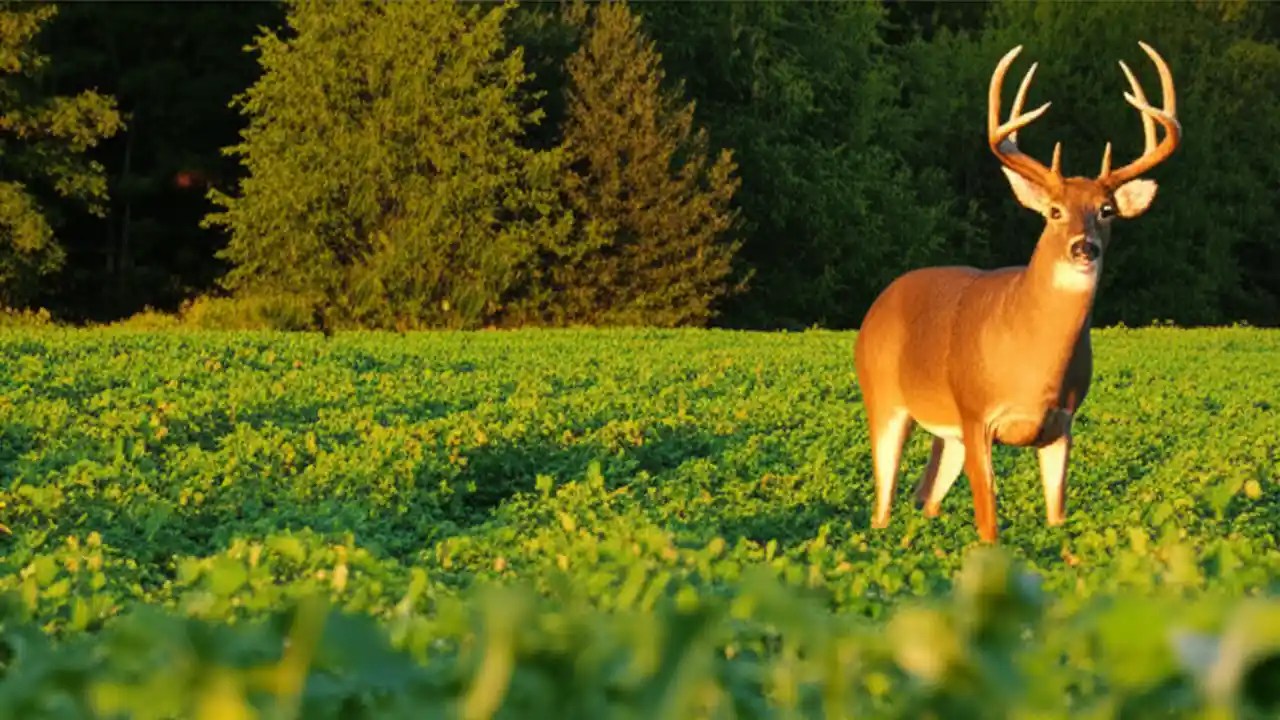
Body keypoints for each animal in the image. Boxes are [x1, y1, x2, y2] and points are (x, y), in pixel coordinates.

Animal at [852, 42, 1181, 543]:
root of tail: (878, 304)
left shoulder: (1062, 423)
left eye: (1106, 210)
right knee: (883, 502)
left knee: (925, 495)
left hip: (945, 433)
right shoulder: (976, 414)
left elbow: (1057, 515)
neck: (1033, 364)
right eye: (1054, 210)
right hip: (884, 396)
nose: (1084, 247)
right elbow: (989, 525)